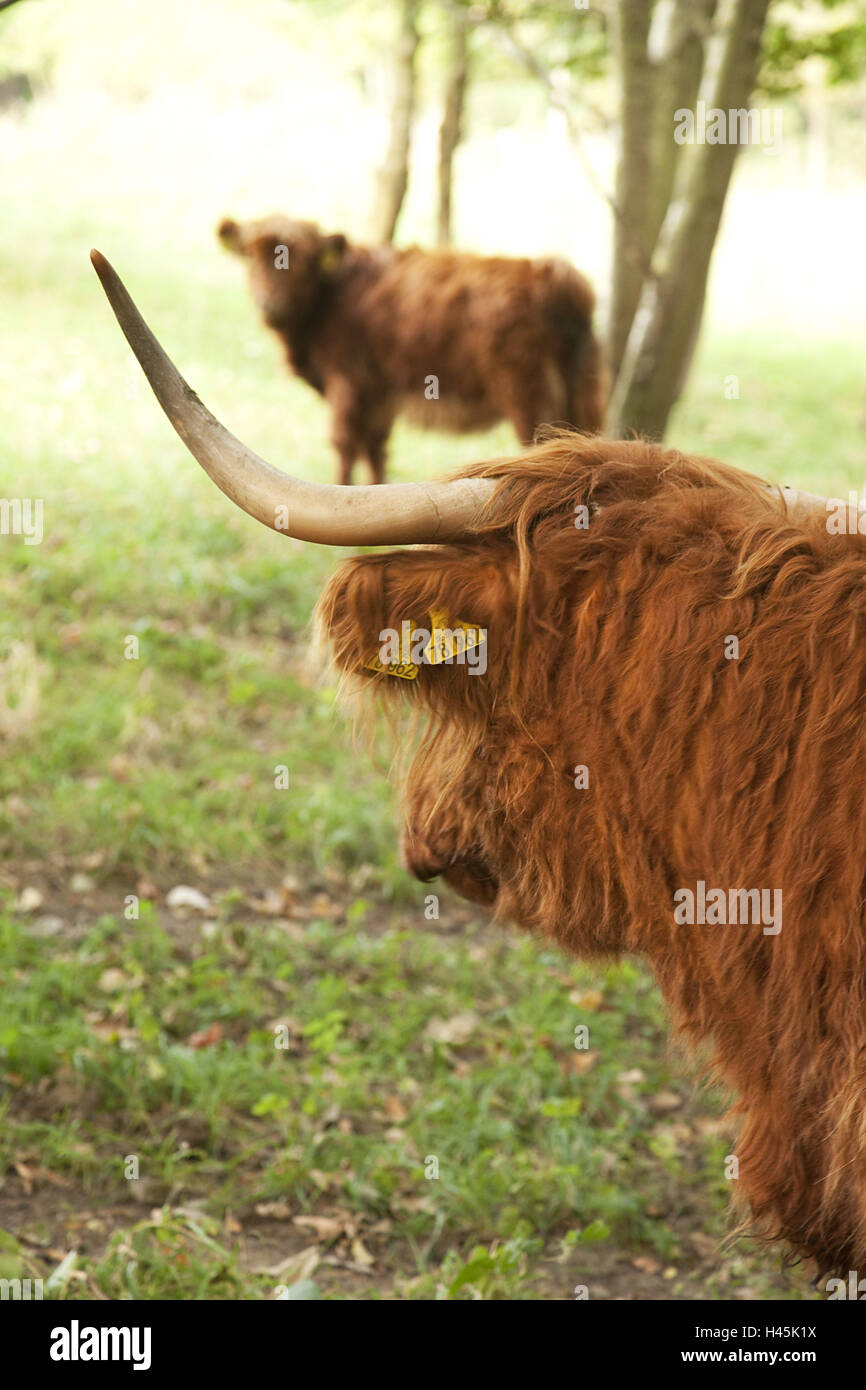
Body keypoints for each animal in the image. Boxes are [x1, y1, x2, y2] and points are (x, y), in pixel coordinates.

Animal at [216, 215, 606, 485]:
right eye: (250, 255)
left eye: (306, 259)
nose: (271, 304)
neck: (332, 295)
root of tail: (555, 273)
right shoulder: (378, 395)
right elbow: (375, 447)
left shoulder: (347, 382)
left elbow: (345, 444)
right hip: (583, 392)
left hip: (529, 396)